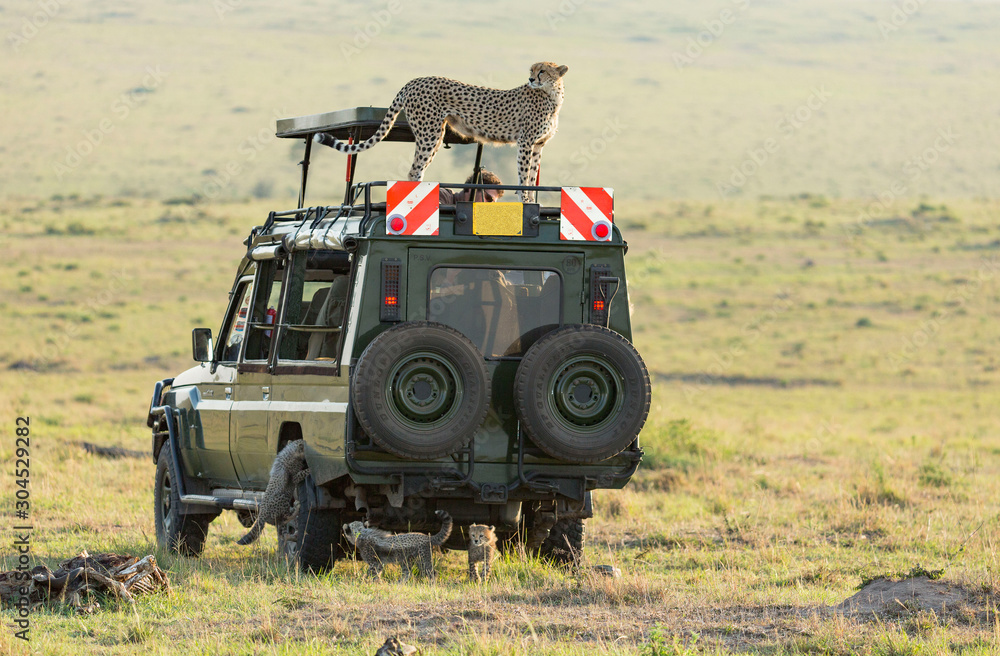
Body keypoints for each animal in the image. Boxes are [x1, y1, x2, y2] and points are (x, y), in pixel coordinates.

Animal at [317, 62, 569, 203]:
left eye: (542, 71)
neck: (552, 95)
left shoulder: (538, 144)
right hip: (429, 132)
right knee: (414, 169)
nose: (530, 79)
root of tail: (414, 80)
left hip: (434, 136)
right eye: (532, 70)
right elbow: (523, 174)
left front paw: (531, 199)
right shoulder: (526, 142)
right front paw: (525, 199)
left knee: (418, 168)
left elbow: (532, 176)